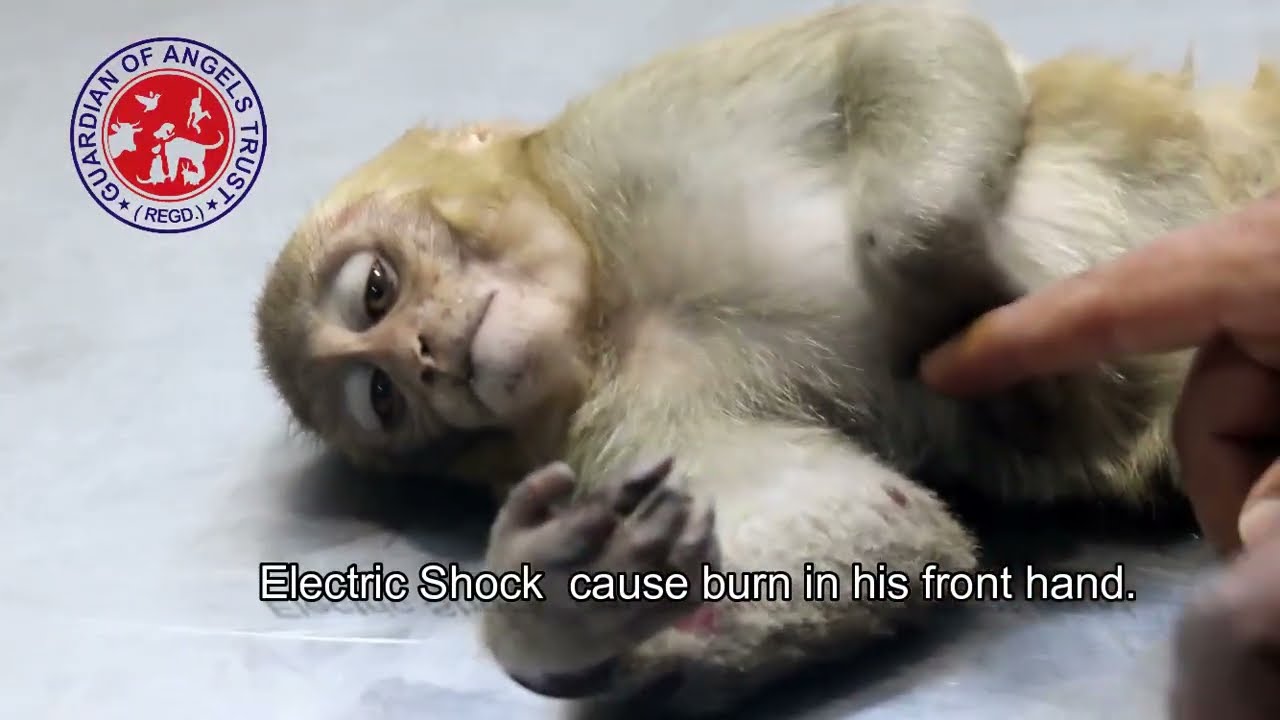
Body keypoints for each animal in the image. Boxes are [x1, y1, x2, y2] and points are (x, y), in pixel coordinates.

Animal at [253, 3, 1280, 716]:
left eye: (376, 292)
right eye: (383, 396)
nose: (425, 359)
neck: (613, 295)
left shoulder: (630, 124)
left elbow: (899, 33)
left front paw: (944, 279)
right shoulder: (625, 416)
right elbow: (881, 533)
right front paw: (564, 613)